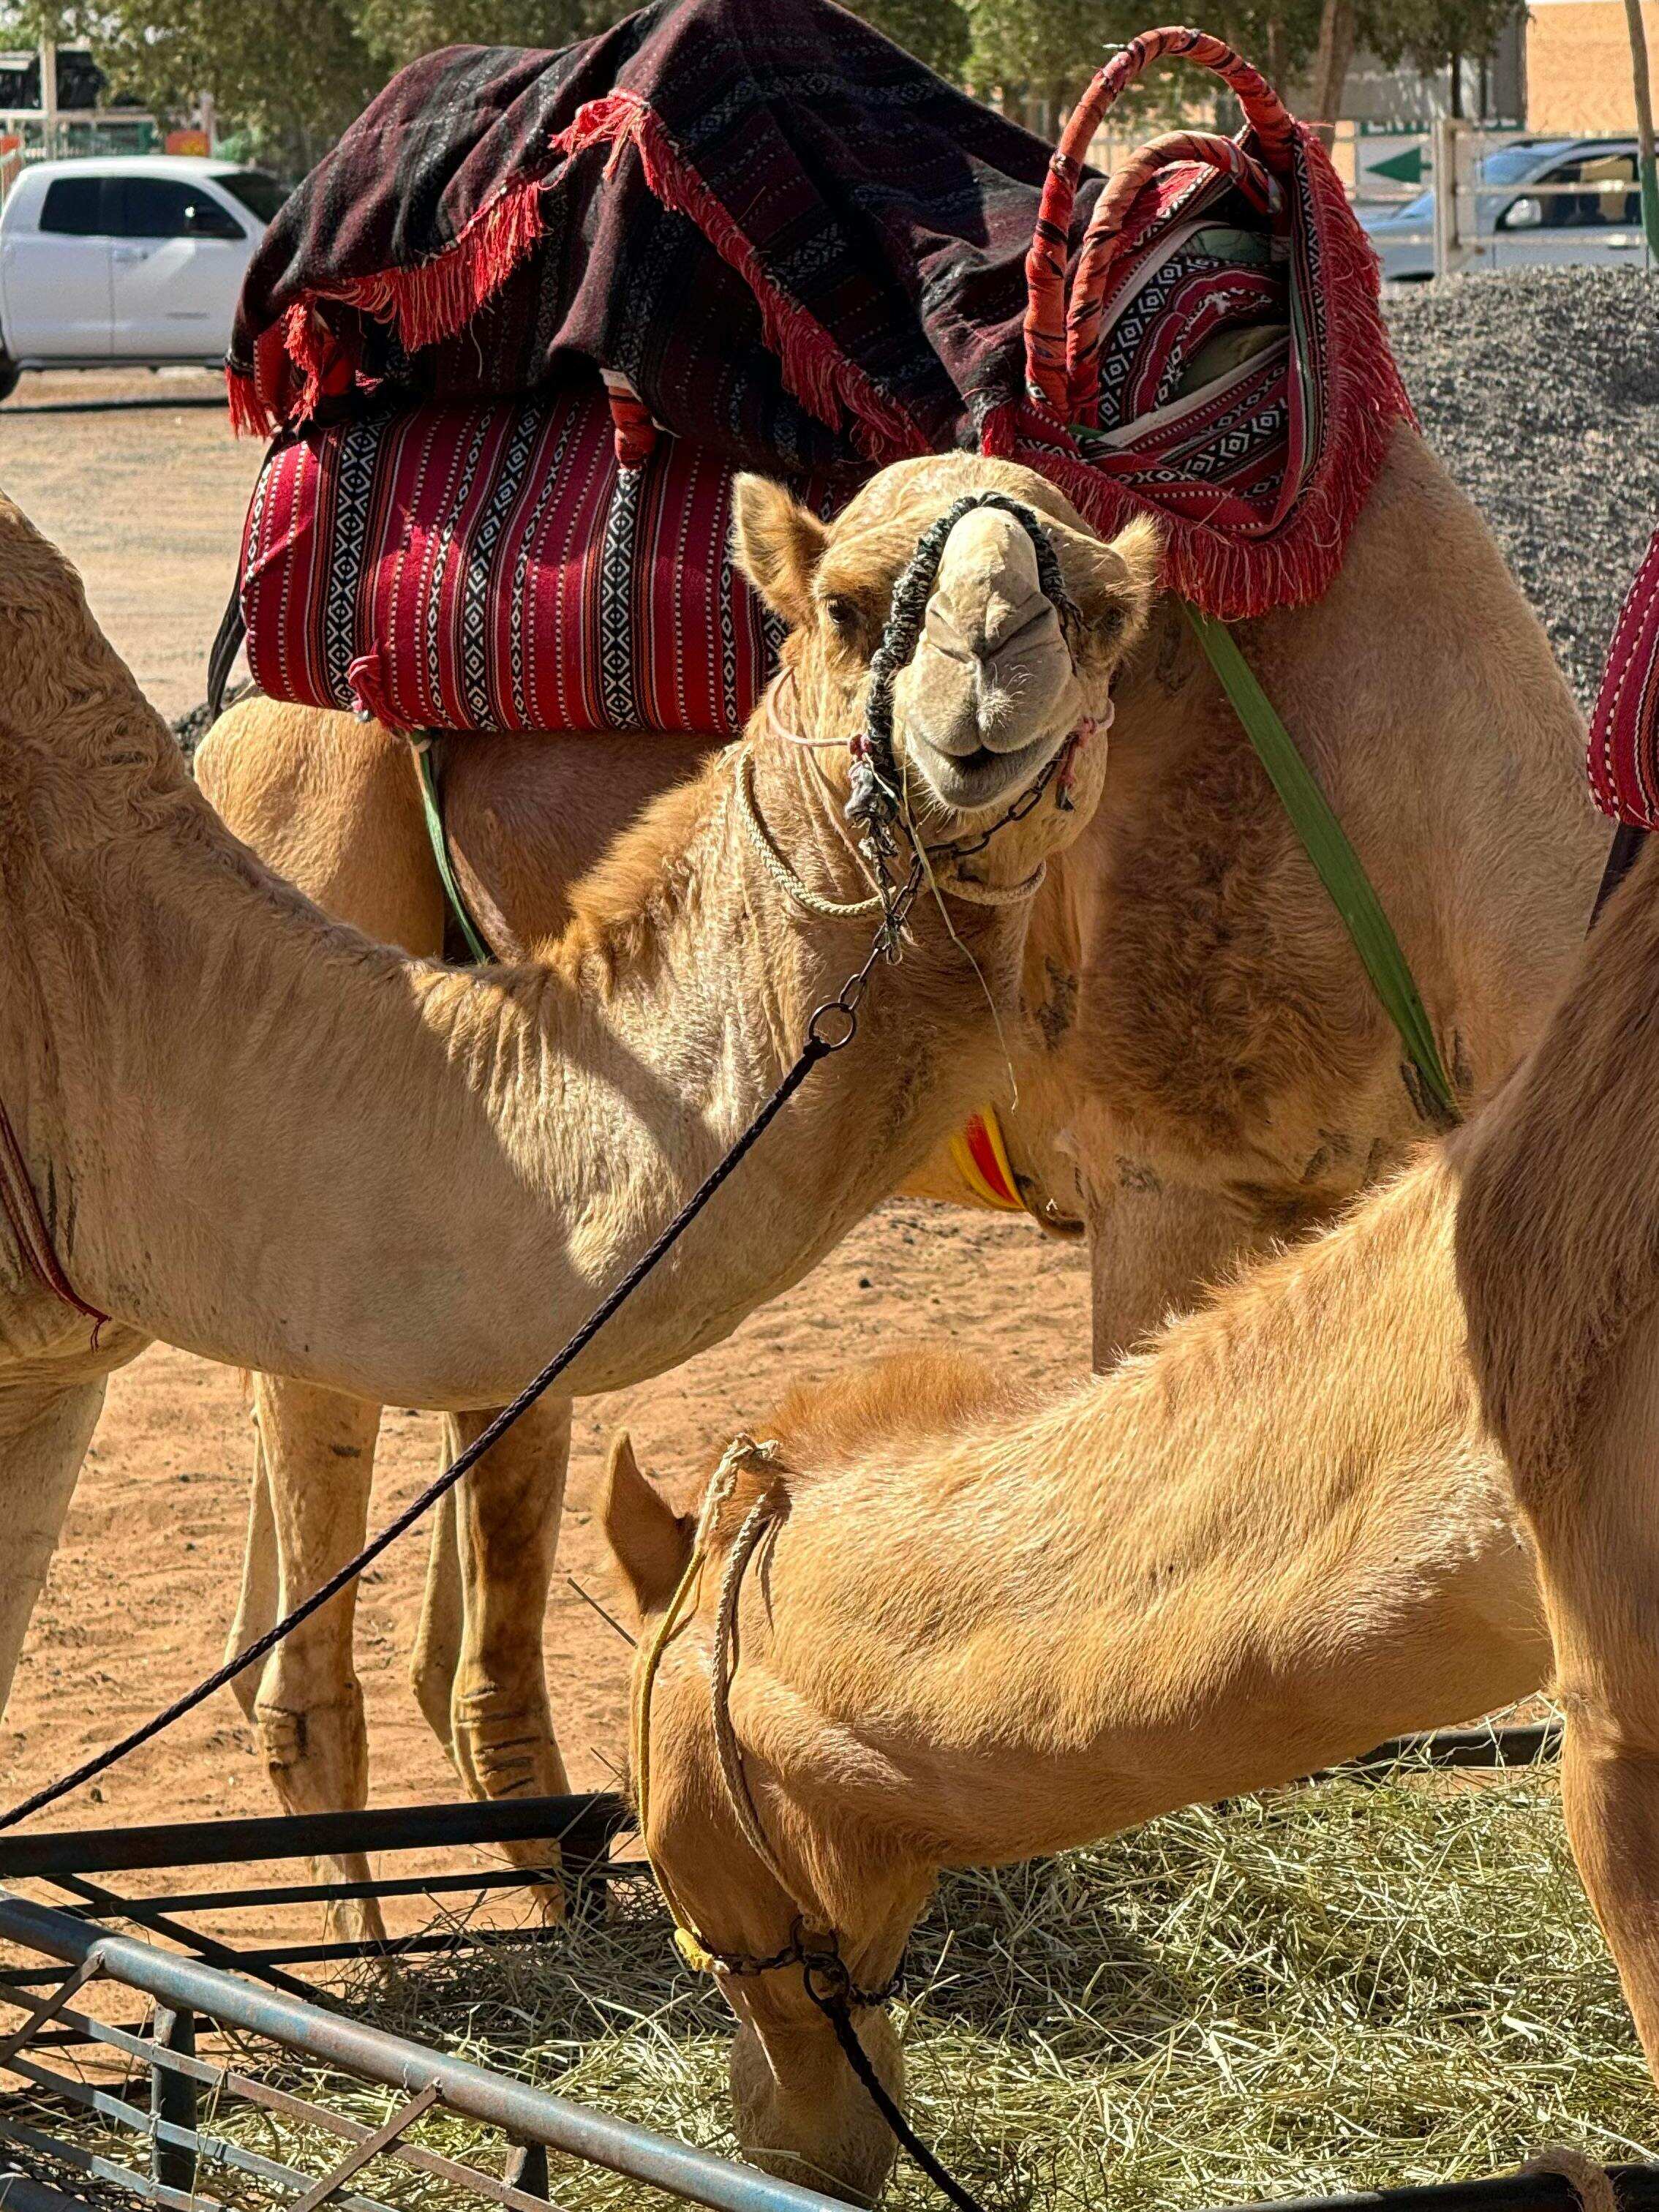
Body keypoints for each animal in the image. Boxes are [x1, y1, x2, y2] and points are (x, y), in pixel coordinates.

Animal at [205, 419, 1606, 1922]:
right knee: (314, 1660)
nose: (985, 668)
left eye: (1107, 619)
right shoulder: (1168, 1175)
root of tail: (234, 723)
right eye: (838, 607)